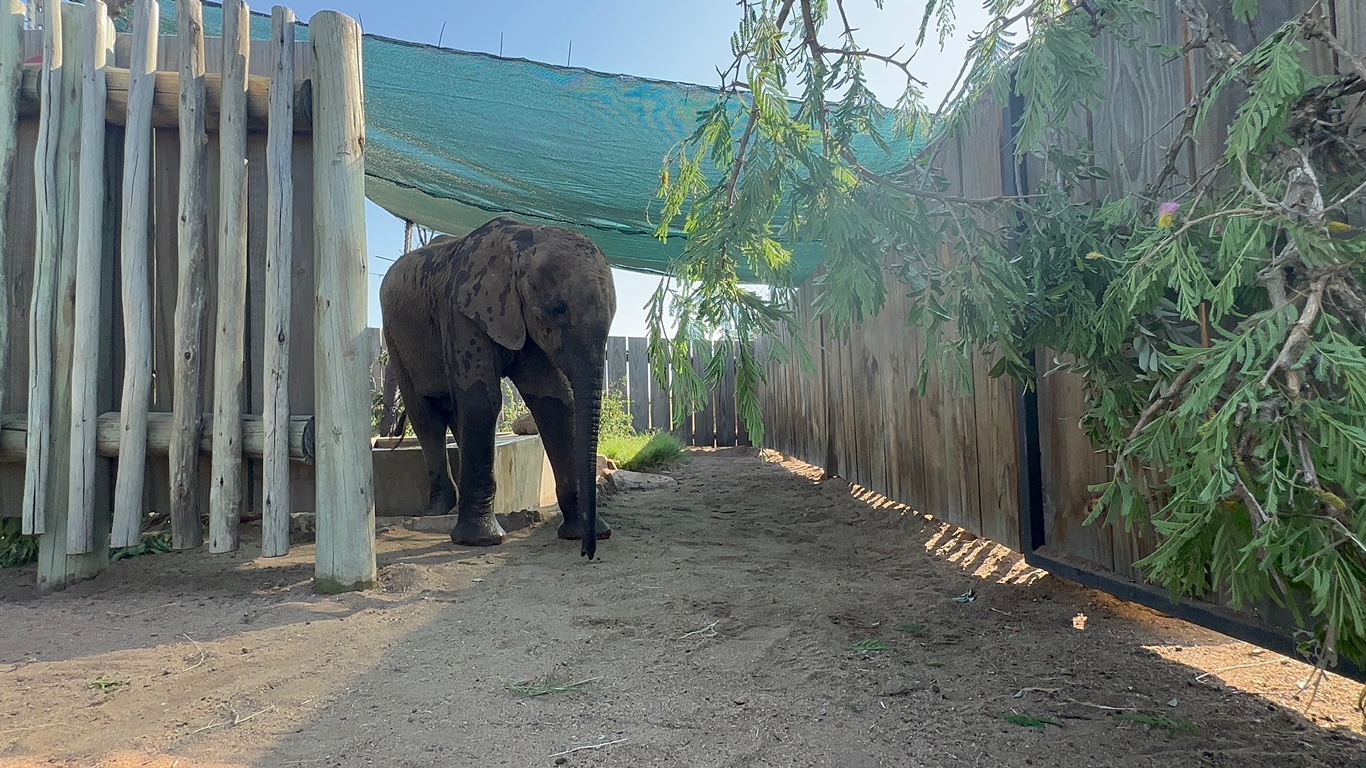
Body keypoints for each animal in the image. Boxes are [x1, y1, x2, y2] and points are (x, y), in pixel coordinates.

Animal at [378, 216, 617, 559]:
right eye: (557, 309)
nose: (588, 552)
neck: (523, 240)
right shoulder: (460, 312)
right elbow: (482, 401)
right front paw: (480, 541)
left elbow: (554, 401)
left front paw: (584, 532)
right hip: (395, 337)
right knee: (426, 414)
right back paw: (438, 510)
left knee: (453, 413)